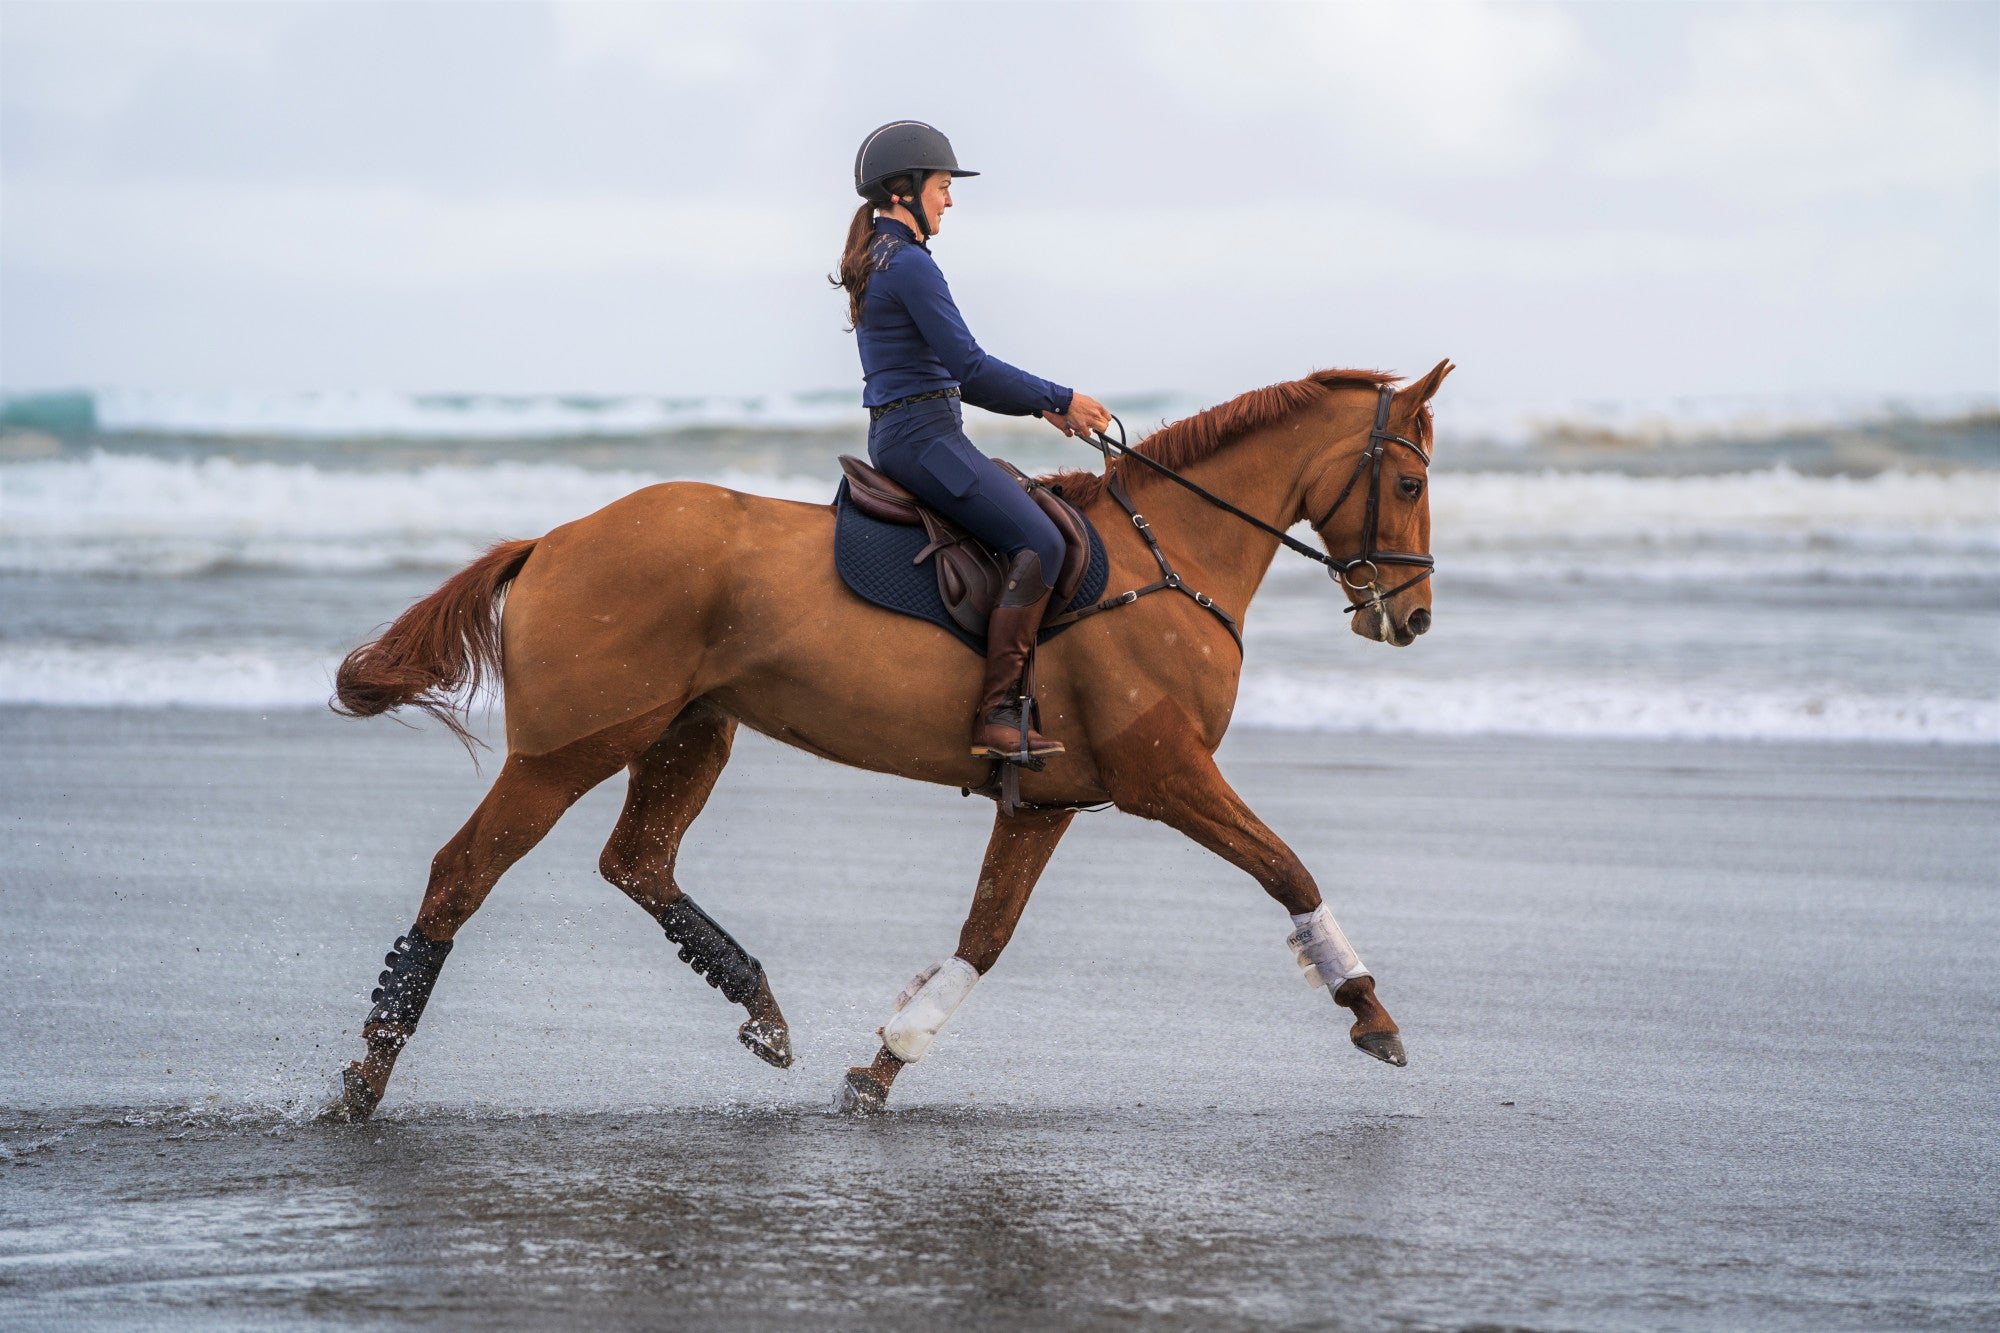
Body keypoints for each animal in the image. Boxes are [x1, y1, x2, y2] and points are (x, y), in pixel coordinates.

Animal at [322, 359, 1451, 1119]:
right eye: (1407, 484)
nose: (1410, 617)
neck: (1166, 560)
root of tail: (552, 539)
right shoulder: (1165, 773)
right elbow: (1286, 867)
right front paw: (1369, 1010)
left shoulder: (1044, 803)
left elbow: (983, 936)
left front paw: (883, 1064)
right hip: (569, 749)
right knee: (464, 873)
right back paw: (366, 1075)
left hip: (690, 732)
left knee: (637, 860)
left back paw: (761, 1004)